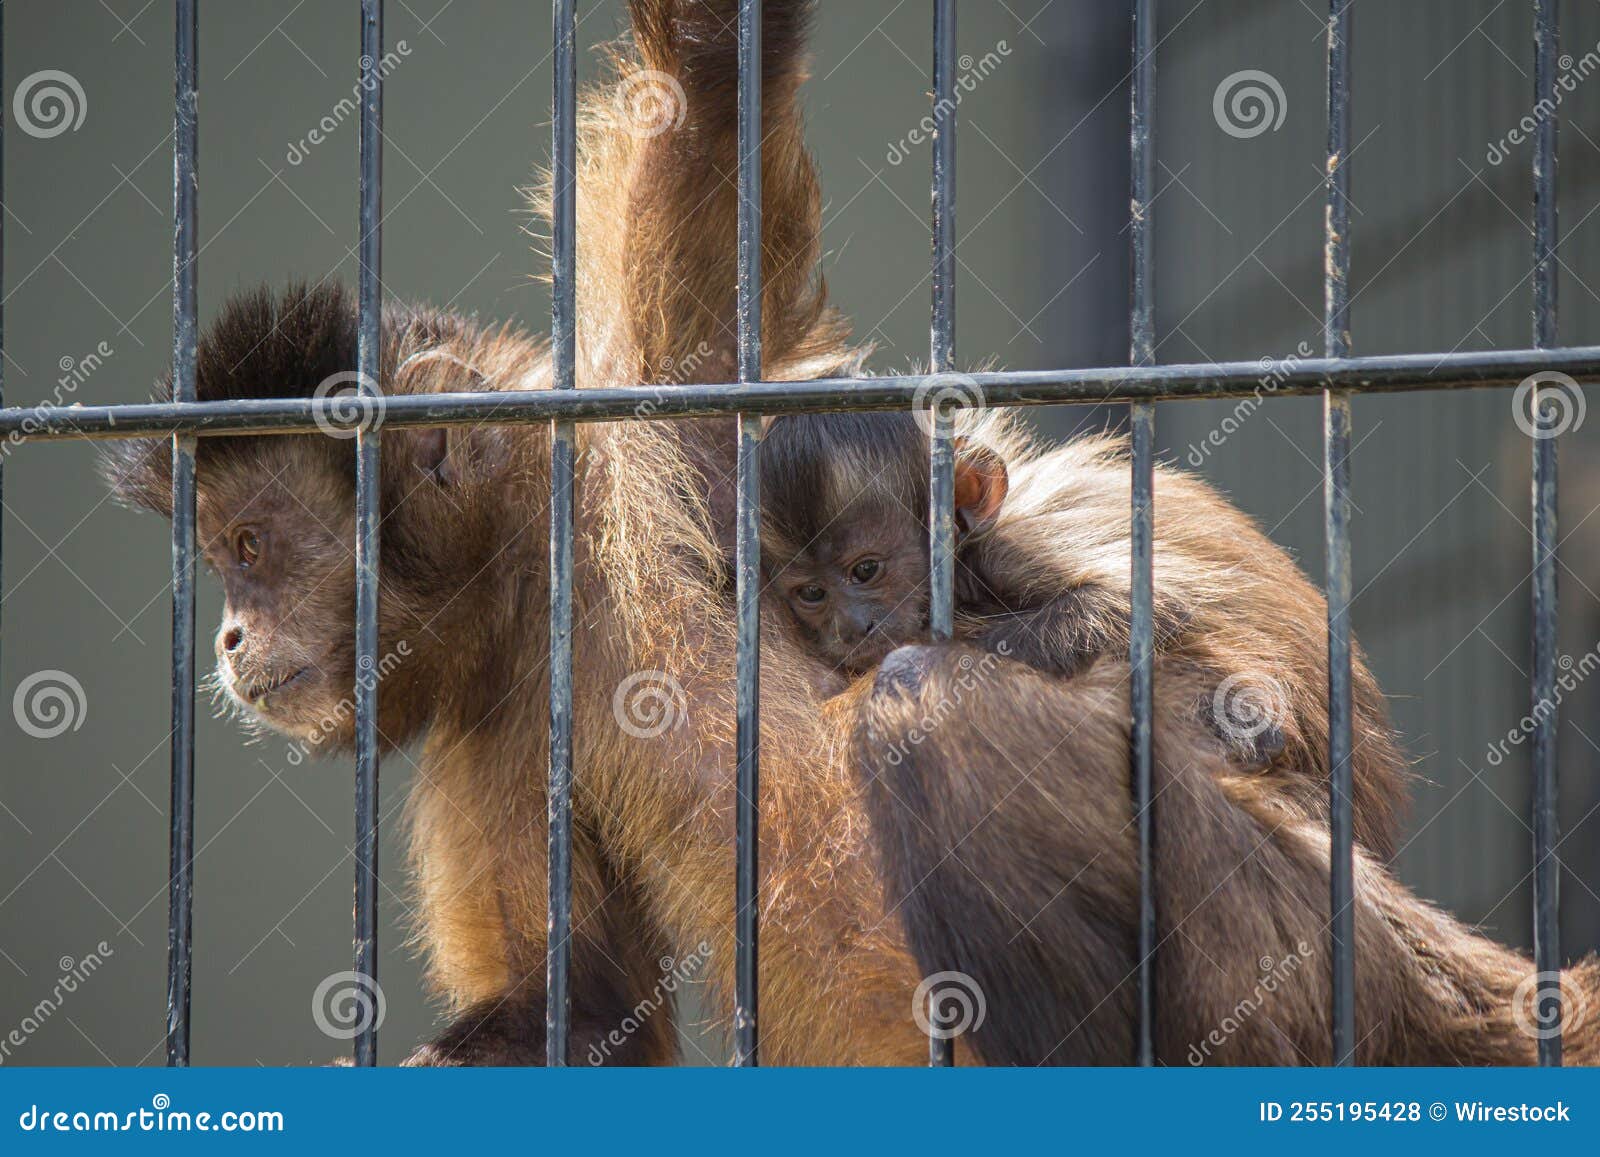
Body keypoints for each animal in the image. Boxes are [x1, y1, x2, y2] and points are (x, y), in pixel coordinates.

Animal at [97, 0, 1598, 1066]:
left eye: (249, 544)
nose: (229, 633)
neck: (543, 573)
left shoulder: (646, 433)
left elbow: (712, 84)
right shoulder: (496, 693)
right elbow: (565, 1015)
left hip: (1305, 964)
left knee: (931, 708)